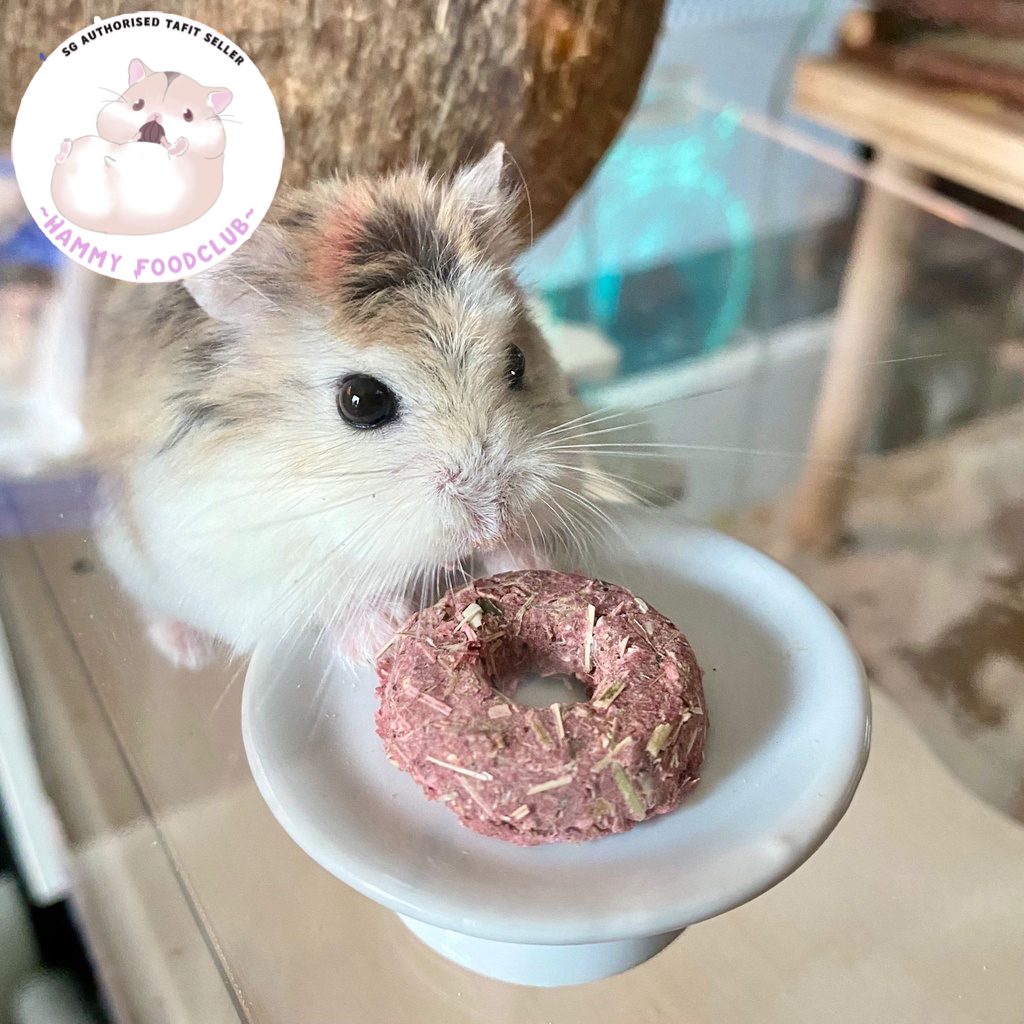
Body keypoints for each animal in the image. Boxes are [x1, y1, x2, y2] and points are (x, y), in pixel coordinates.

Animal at [51, 59, 232, 235]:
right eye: (138, 104)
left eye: (188, 115)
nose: (156, 115)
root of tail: (112, 226)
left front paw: (180, 145)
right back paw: (70, 148)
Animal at [85, 144, 607, 668]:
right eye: (361, 401)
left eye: (517, 361)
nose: (494, 519)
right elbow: (333, 603)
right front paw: (385, 634)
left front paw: (527, 559)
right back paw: (186, 649)